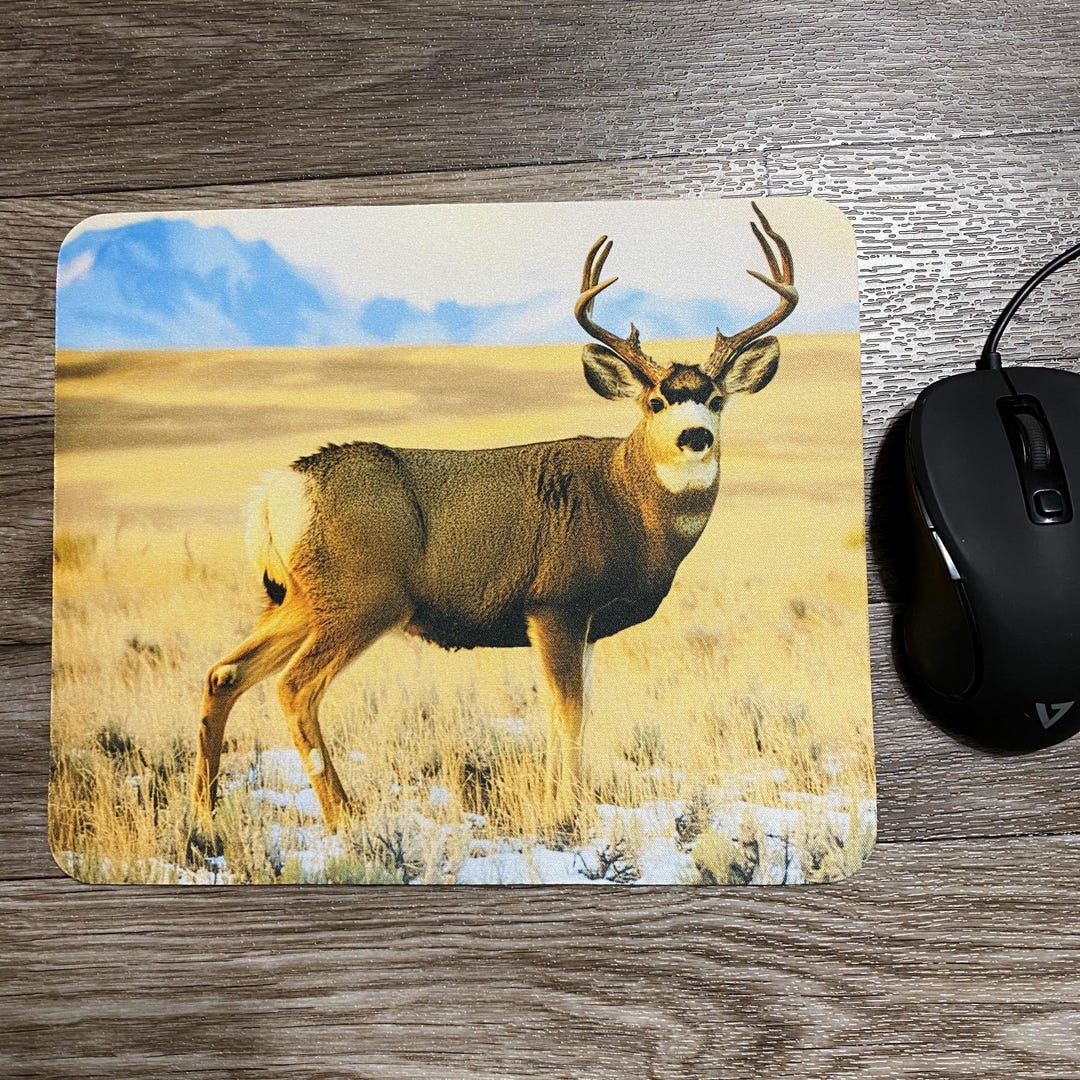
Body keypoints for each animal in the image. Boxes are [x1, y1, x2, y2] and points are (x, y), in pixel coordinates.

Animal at [190, 201, 797, 836]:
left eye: (718, 399)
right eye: (654, 401)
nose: (694, 435)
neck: (627, 504)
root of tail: (276, 490)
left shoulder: (586, 623)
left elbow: (569, 712)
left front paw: (562, 804)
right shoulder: (555, 602)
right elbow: (569, 712)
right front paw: (566, 813)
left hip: (299, 598)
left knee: (224, 673)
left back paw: (205, 812)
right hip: (362, 596)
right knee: (296, 688)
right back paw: (345, 817)